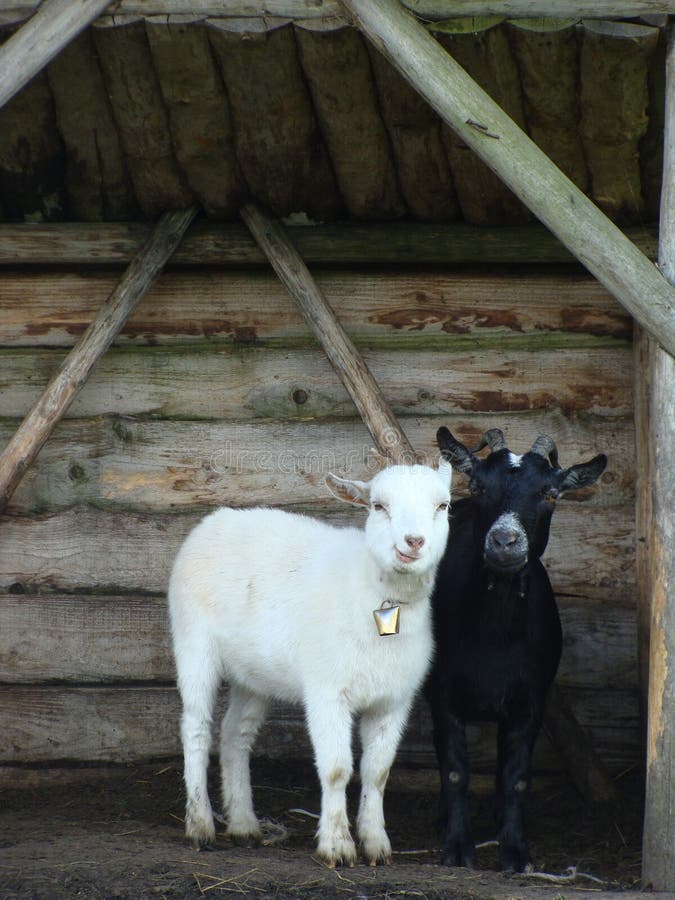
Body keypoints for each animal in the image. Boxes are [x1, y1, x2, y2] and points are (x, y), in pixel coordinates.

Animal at [168, 461, 452, 867]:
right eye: (378, 505)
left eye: (443, 506)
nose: (413, 541)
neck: (376, 596)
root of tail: (215, 519)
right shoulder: (327, 691)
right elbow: (336, 769)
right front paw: (337, 846)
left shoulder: (393, 701)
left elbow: (377, 772)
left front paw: (376, 843)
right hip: (193, 642)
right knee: (196, 728)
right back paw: (200, 826)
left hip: (254, 675)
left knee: (235, 734)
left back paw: (243, 824)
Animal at [425, 427, 607, 872]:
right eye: (478, 485)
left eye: (550, 494)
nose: (504, 542)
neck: (494, 636)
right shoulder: (443, 694)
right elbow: (455, 770)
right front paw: (458, 849)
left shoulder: (530, 700)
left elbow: (517, 776)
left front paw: (515, 852)